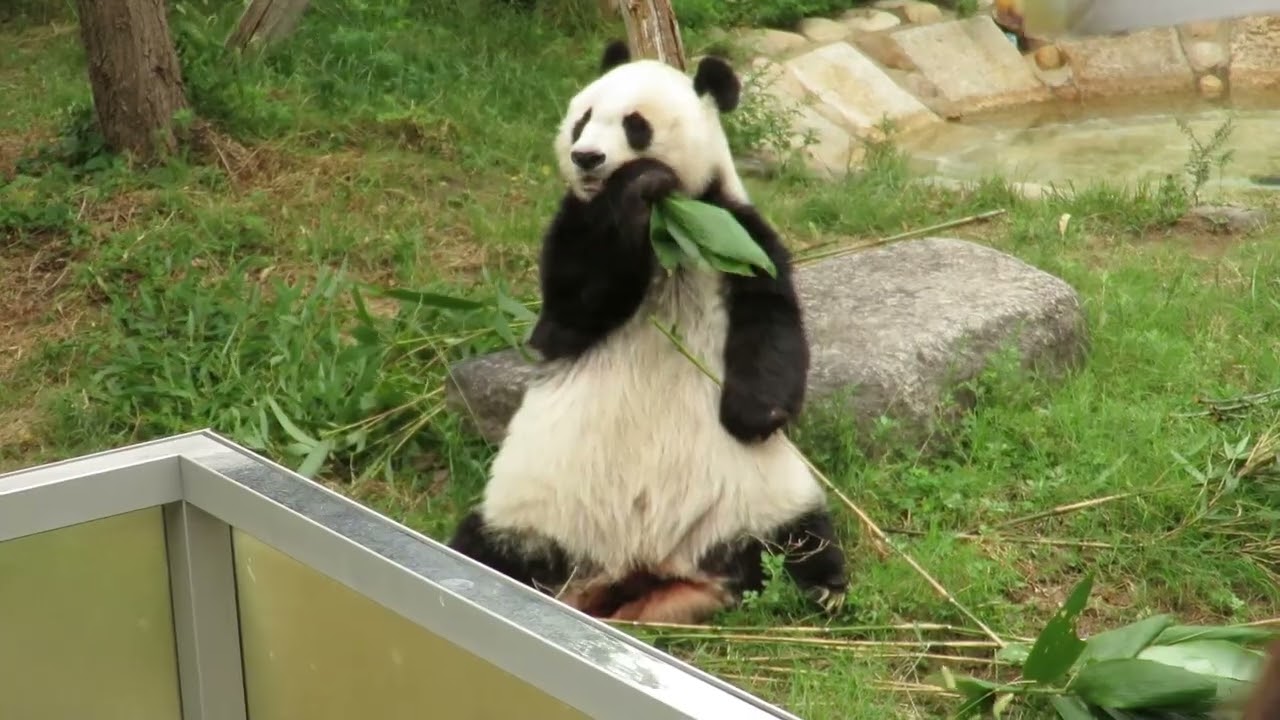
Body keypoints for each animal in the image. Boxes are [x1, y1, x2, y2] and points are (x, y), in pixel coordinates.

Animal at [447, 40, 849, 625]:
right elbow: (567, 314)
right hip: (535, 508)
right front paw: (635, 188)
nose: (586, 157)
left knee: (799, 541)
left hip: (758, 500)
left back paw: (822, 588)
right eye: (583, 119)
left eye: (635, 125)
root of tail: (647, 570)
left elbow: (772, 322)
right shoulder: (576, 226)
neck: (671, 231)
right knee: (489, 548)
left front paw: (756, 415)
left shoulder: (736, 233)